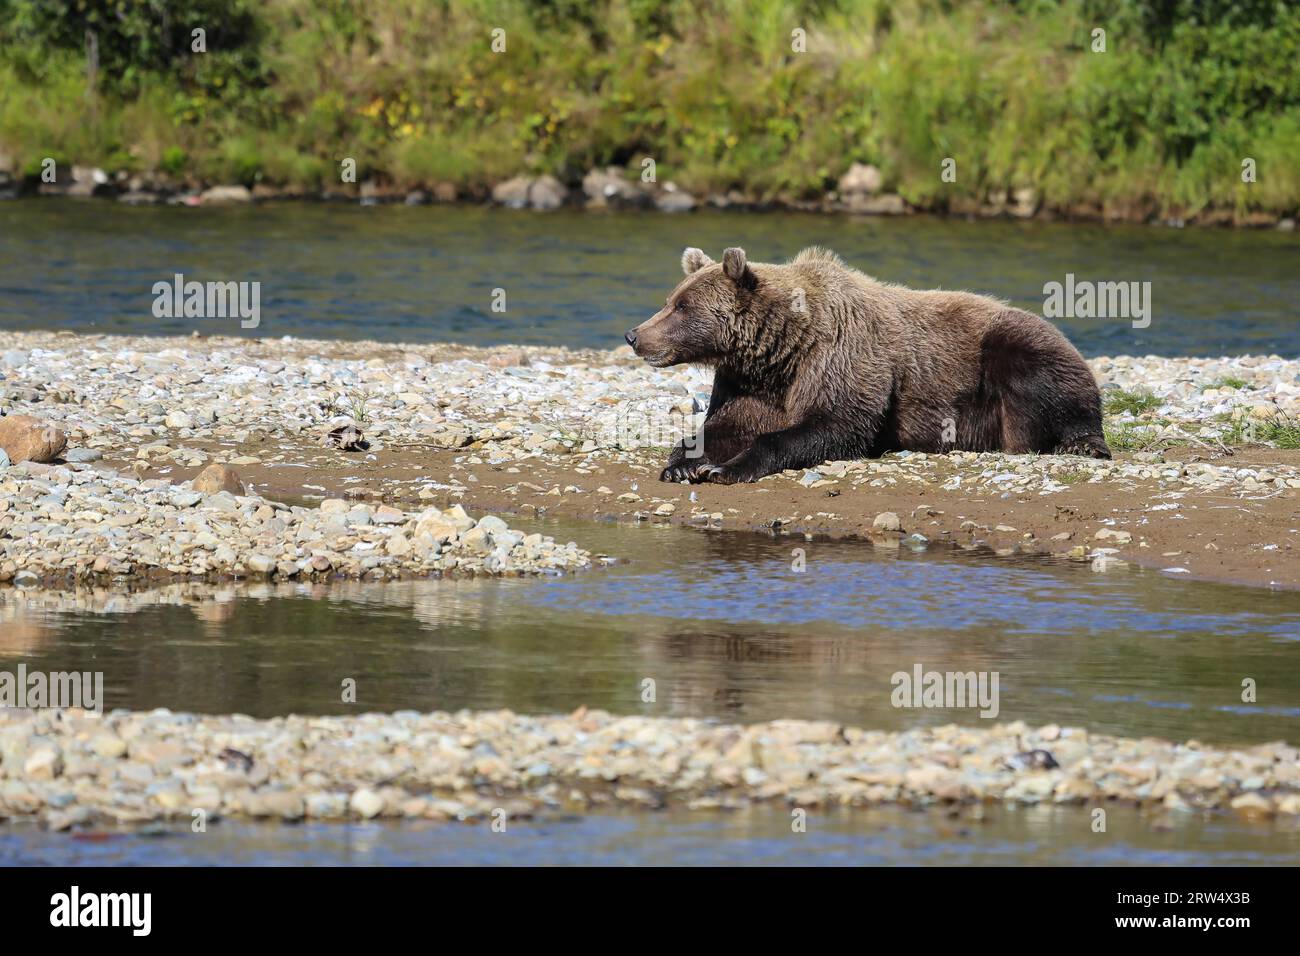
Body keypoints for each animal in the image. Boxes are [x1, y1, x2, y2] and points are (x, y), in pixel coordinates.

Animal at [624, 245, 1110, 484]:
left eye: (682, 306)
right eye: (672, 299)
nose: (634, 335)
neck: (782, 349)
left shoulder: (839, 357)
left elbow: (833, 425)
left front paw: (724, 469)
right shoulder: (750, 383)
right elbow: (726, 425)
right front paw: (683, 463)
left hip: (1008, 348)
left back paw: (1076, 444)